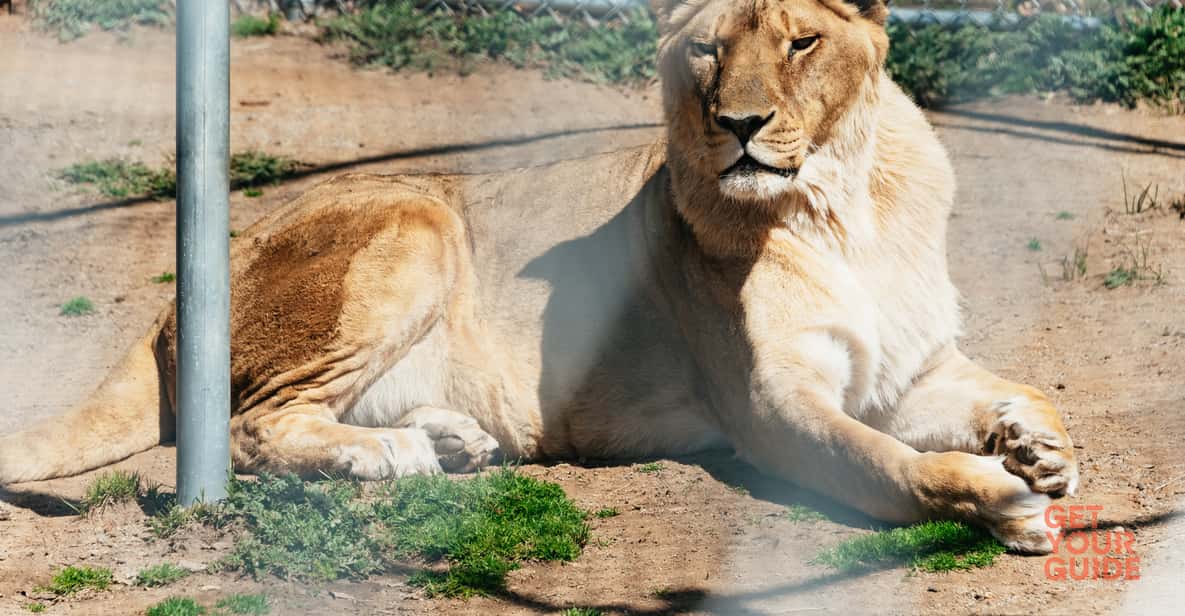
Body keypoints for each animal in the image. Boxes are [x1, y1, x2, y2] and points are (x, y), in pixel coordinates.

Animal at [0, 0, 1077, 552]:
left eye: (801, 41)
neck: (841, 203)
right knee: (253, 428)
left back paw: (448, 440)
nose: (738, 124)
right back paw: (396, 455)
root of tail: (176, 301)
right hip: (418, 216)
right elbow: (892, 466)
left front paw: (1037, 448)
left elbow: (1018, 387)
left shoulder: (910, 367)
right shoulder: (774, 408)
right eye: (706, 48)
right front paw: (1001, 498)